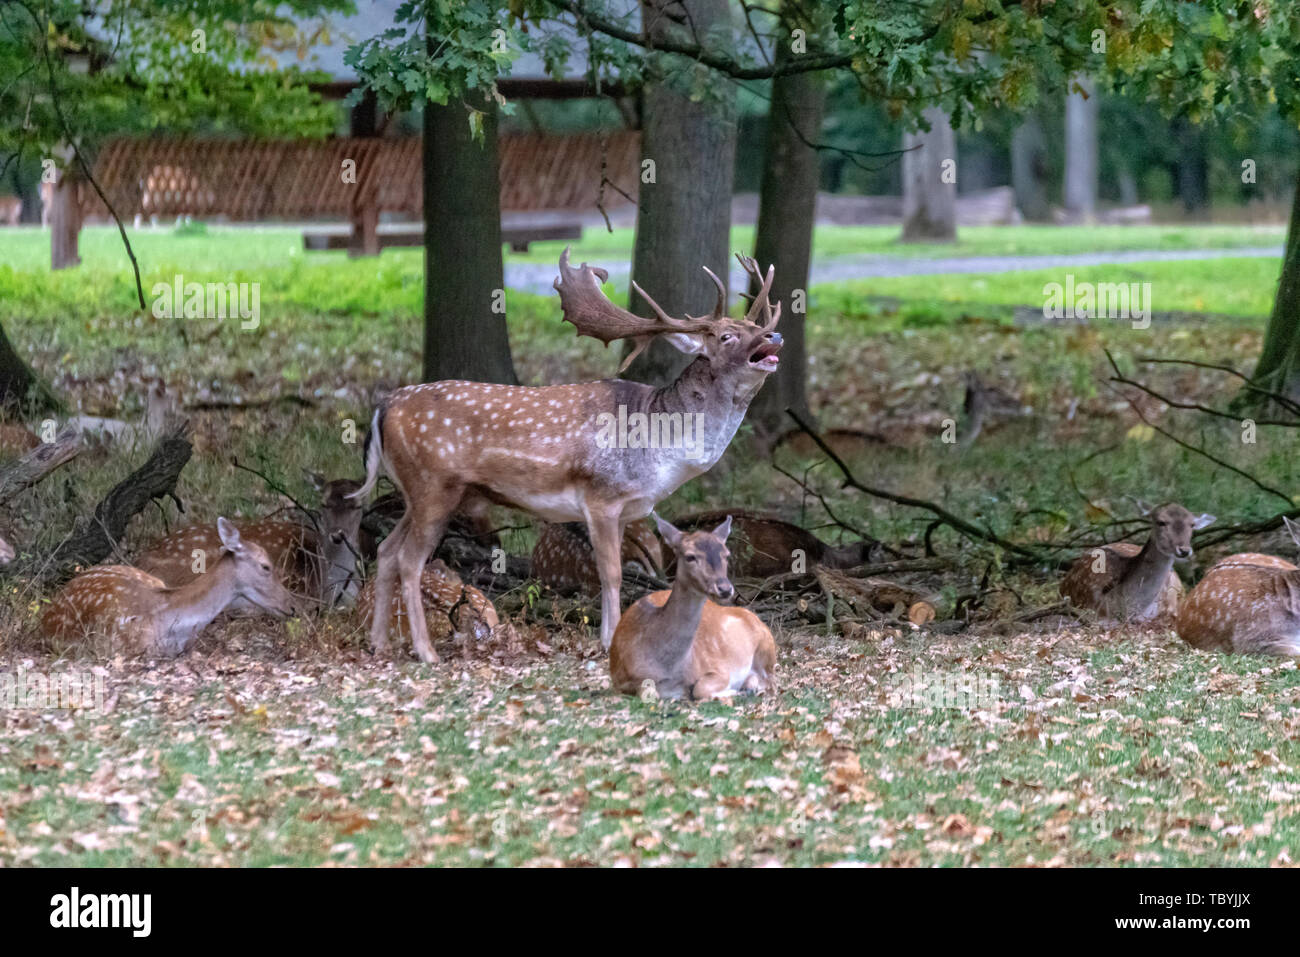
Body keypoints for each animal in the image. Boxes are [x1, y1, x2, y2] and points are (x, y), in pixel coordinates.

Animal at [609, 515, 777, 700]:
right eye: (690, 557)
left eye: (726, 555)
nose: (725, 588)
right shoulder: (622, 681)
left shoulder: (719, 668)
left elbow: (699, 688)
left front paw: (732, 691)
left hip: (767, 645)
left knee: (771, 681)